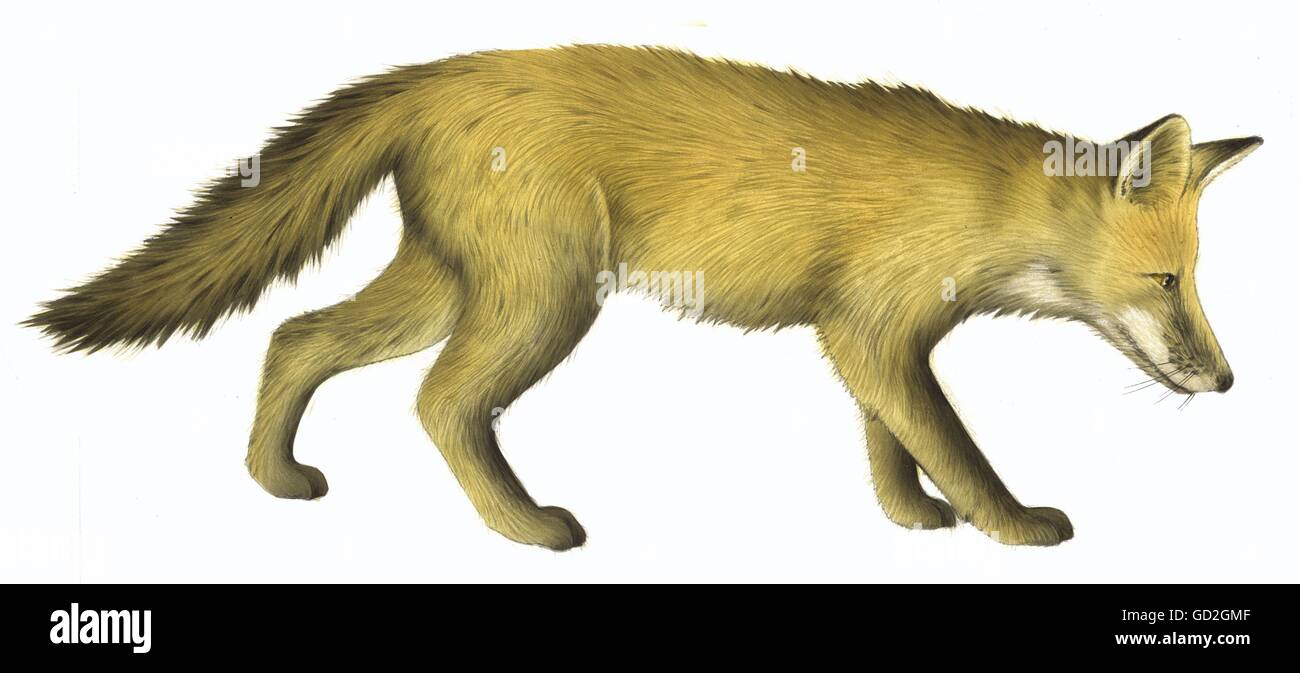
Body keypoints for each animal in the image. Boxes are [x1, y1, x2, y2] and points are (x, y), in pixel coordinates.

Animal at [28, 46, 1261, 550]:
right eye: (1166, 281)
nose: (1228, 379)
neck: (981, 203)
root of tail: (433, 70)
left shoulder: (871, 334)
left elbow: (891, 442)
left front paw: (910, 521)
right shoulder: (870, 326)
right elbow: (953, 444)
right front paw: (1011, 527)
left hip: (449, 286)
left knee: (295, 334)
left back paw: (277, 481)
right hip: (542, 304)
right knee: (437, 403)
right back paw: (527, 529)